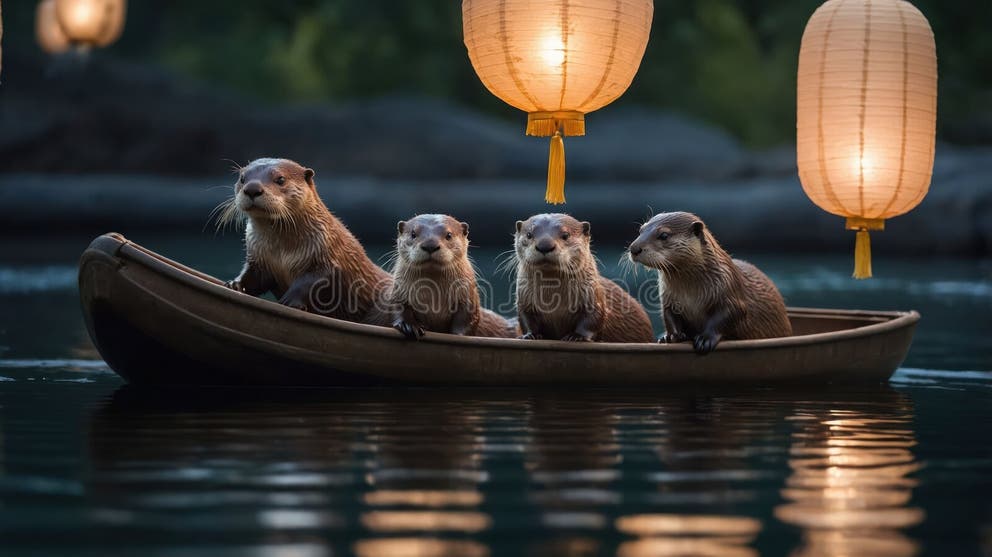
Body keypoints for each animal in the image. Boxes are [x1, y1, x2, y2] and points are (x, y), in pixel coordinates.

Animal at [220, 158, 392, 325]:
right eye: (242, 178)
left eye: (280, 179)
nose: (252, 188)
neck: (283, 252)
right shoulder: (259, 257)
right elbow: (253, 275)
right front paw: (235, 284)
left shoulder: (329, 254)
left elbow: (314, 281)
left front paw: (289, 301)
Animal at [513, 213, 654, 343]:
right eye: (529, 234)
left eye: (565, 235)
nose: (544, 245)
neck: (554, 302)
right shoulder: (525, 301)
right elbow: (526, 319)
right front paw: (530, 335)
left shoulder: (593, 298)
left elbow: (593, 318)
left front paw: (577, 336)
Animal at [628, 211, 792, 354]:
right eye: (640, 230)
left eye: (664, 235)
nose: (634, 248)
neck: (691, 294)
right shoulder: (668, 299)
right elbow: (669, 316)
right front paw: (670, 337)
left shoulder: (730, 290)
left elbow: (728, 315)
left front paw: (705, 339)